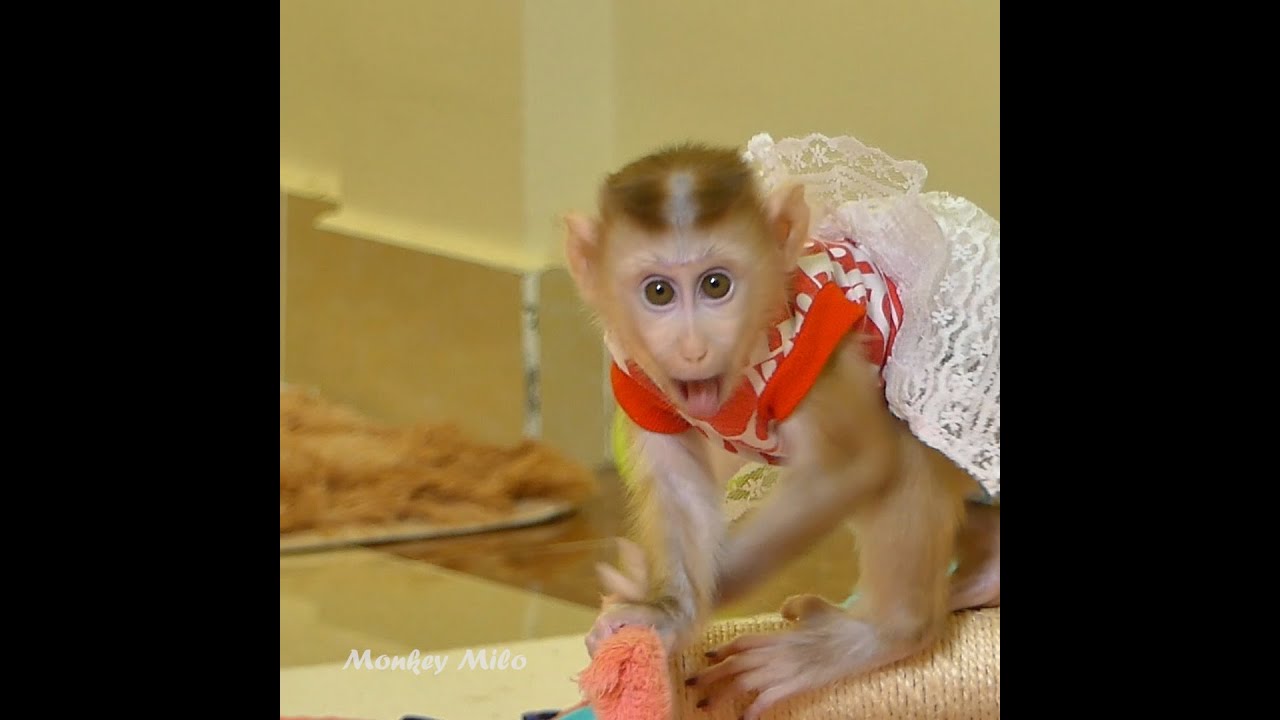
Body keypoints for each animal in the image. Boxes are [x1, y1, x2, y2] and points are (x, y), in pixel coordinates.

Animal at [562, 142, 1000, 719]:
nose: (693, 348)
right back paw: (986, 569)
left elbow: (855, 465)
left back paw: (887, 632)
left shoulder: (815, 345)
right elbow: (678, 485)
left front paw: (697, 599)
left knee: (908, 437)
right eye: (658, 292)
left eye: (716, 284)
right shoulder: (637, 376)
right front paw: (670, 611)